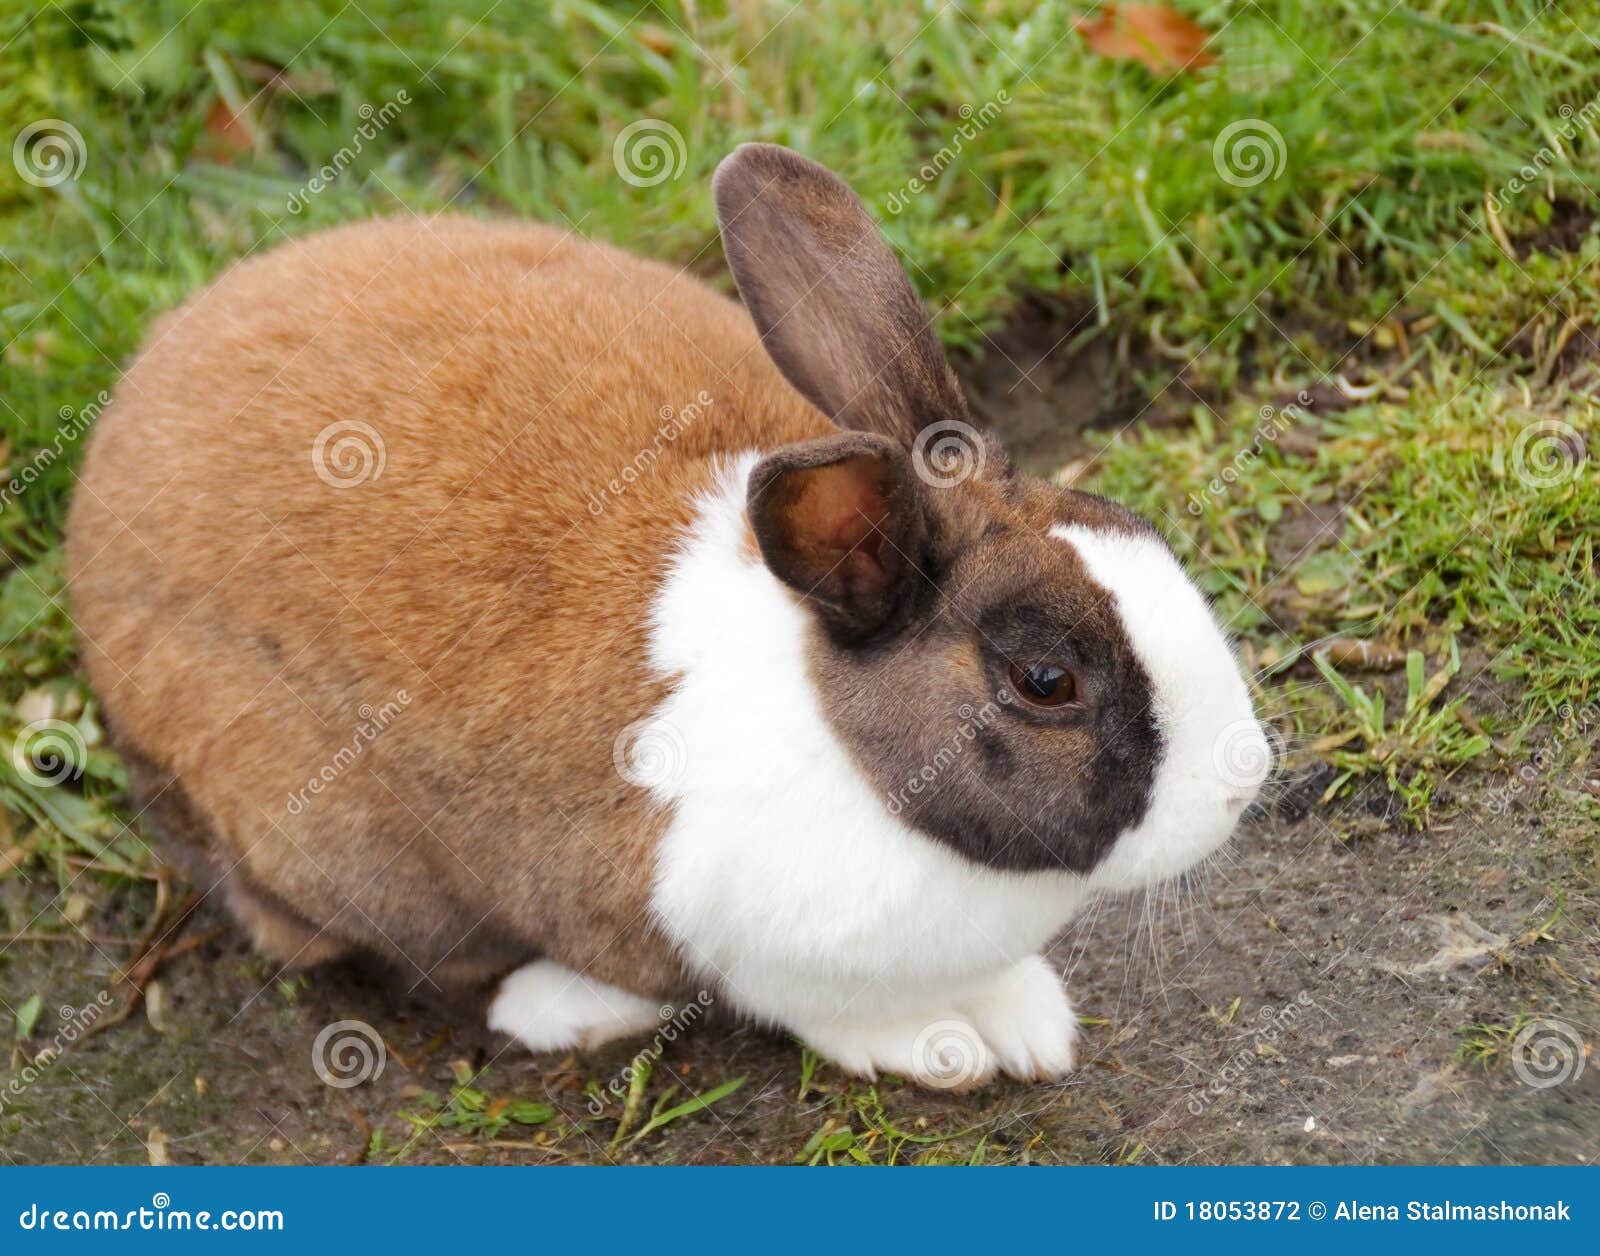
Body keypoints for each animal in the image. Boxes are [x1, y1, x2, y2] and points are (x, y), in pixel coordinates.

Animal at [65, 143, 1269, 1088]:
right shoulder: (736, 940)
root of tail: (102, 470)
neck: (845, 742)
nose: (1244, 778)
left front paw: (1028, 1024)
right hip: (323, 839)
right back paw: (559, 1006)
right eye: (1044, 681)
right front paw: (938, 1049)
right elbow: (812, 1007)